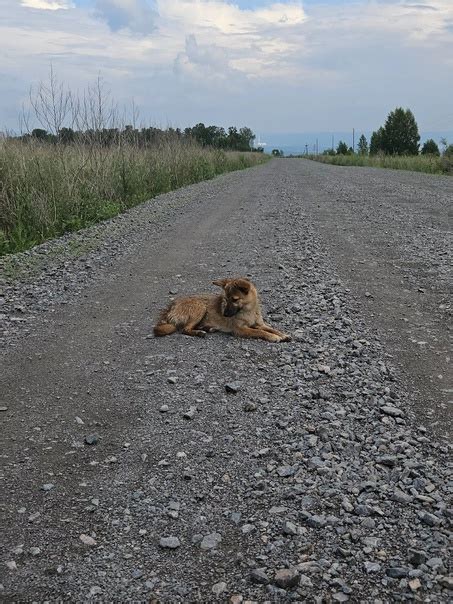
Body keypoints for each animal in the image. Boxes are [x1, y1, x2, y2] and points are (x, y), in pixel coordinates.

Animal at [154, 278, 292, 342]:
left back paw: (207, 328)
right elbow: (260, 332)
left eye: (234, 299)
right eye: (225, 299)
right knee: (185, 329)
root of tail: (171, 306)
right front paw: (273, 337)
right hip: (200, 307)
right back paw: (199, 332)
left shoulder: (260, 324)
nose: (224, 314)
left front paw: (282, 335)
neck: (248, 311)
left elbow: (271, 329)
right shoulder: (240, 329)